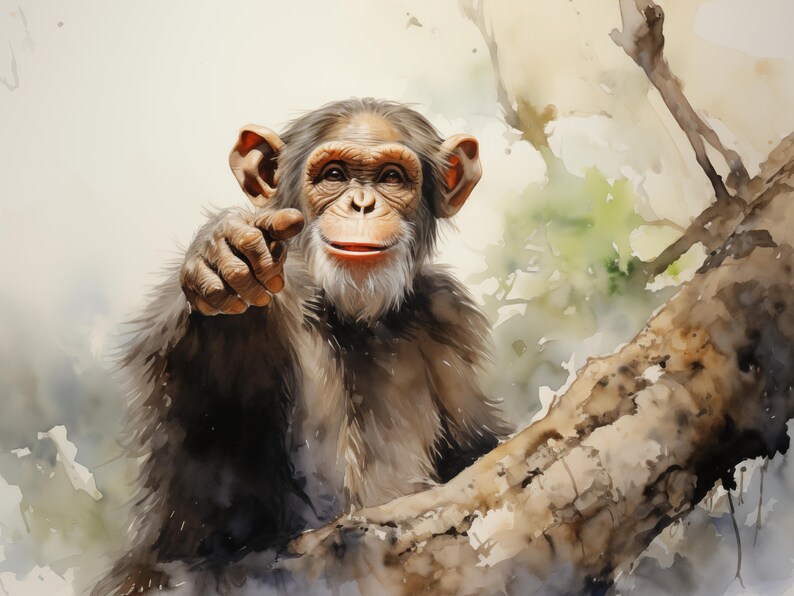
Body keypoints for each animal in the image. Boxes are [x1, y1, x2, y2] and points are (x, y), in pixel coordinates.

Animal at [94, 98, 510, 595]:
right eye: (334, 174)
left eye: (391, 177)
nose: (362, 203)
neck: (351, 318)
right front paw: (223, 254)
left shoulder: (448, 315)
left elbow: (477, 450)